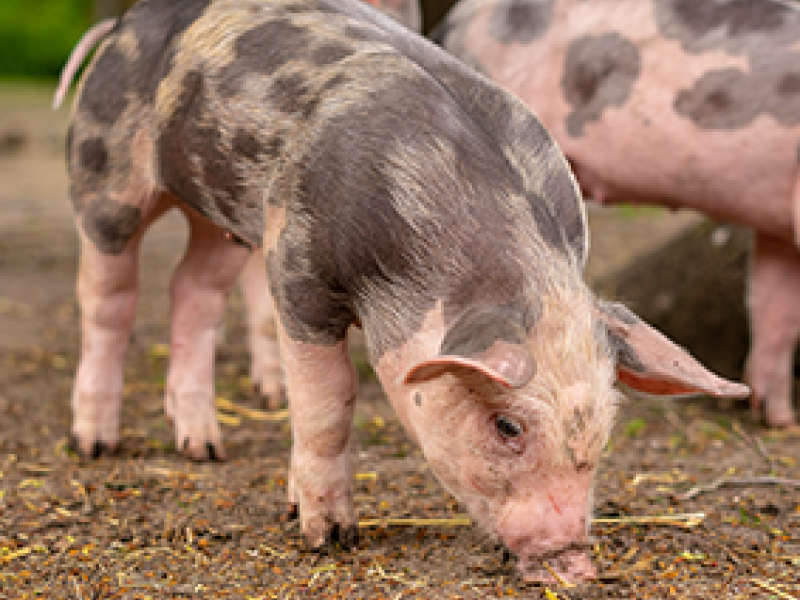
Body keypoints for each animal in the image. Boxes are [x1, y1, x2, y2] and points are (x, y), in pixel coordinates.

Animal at [60, 0, 747, 583]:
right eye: (507, 426)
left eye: (604, 426)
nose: (573, 561)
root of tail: (123, 25)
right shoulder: (295, 266)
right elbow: (328, 401)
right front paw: (328, 535)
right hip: (106, 176)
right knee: (107, 300)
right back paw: (94, 443)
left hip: (219, 213)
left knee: (192, 290)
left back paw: (203, 449)